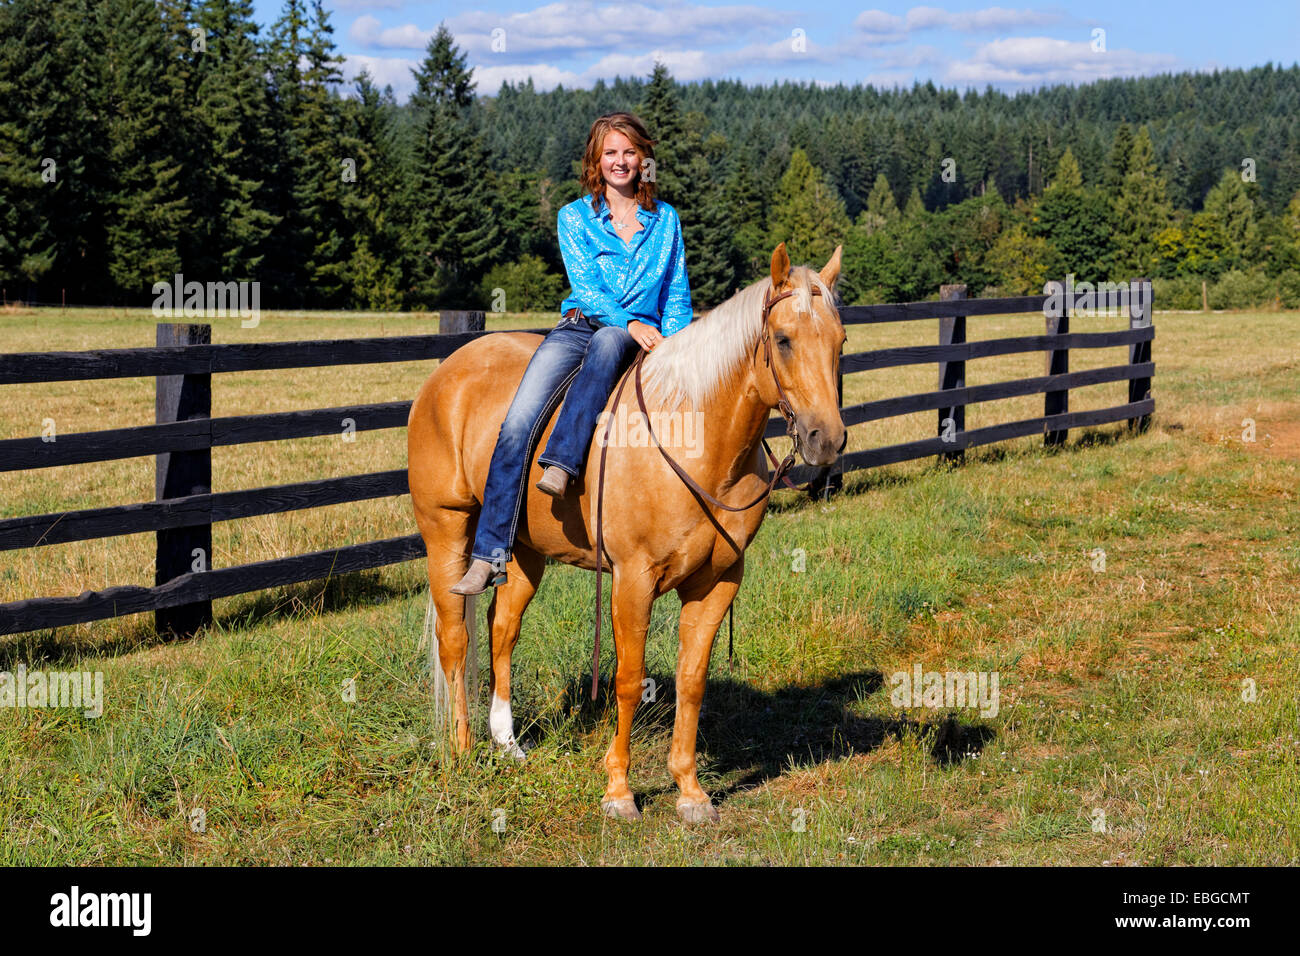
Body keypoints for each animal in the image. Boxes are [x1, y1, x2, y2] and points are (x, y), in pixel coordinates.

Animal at [407, 242, 847, 822]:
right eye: (784, 340)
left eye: (840, 341)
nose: (826, 440)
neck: (694, 441)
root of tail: (445, 374)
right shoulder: (631, 580)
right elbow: (629, 680)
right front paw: (618, 792)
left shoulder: (718, 583)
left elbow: (691, 681)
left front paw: (690, 792)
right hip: (446, 531)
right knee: (455, 638)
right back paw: (461, 751)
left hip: (523, 551)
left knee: (503, 630)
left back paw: (507, 744)